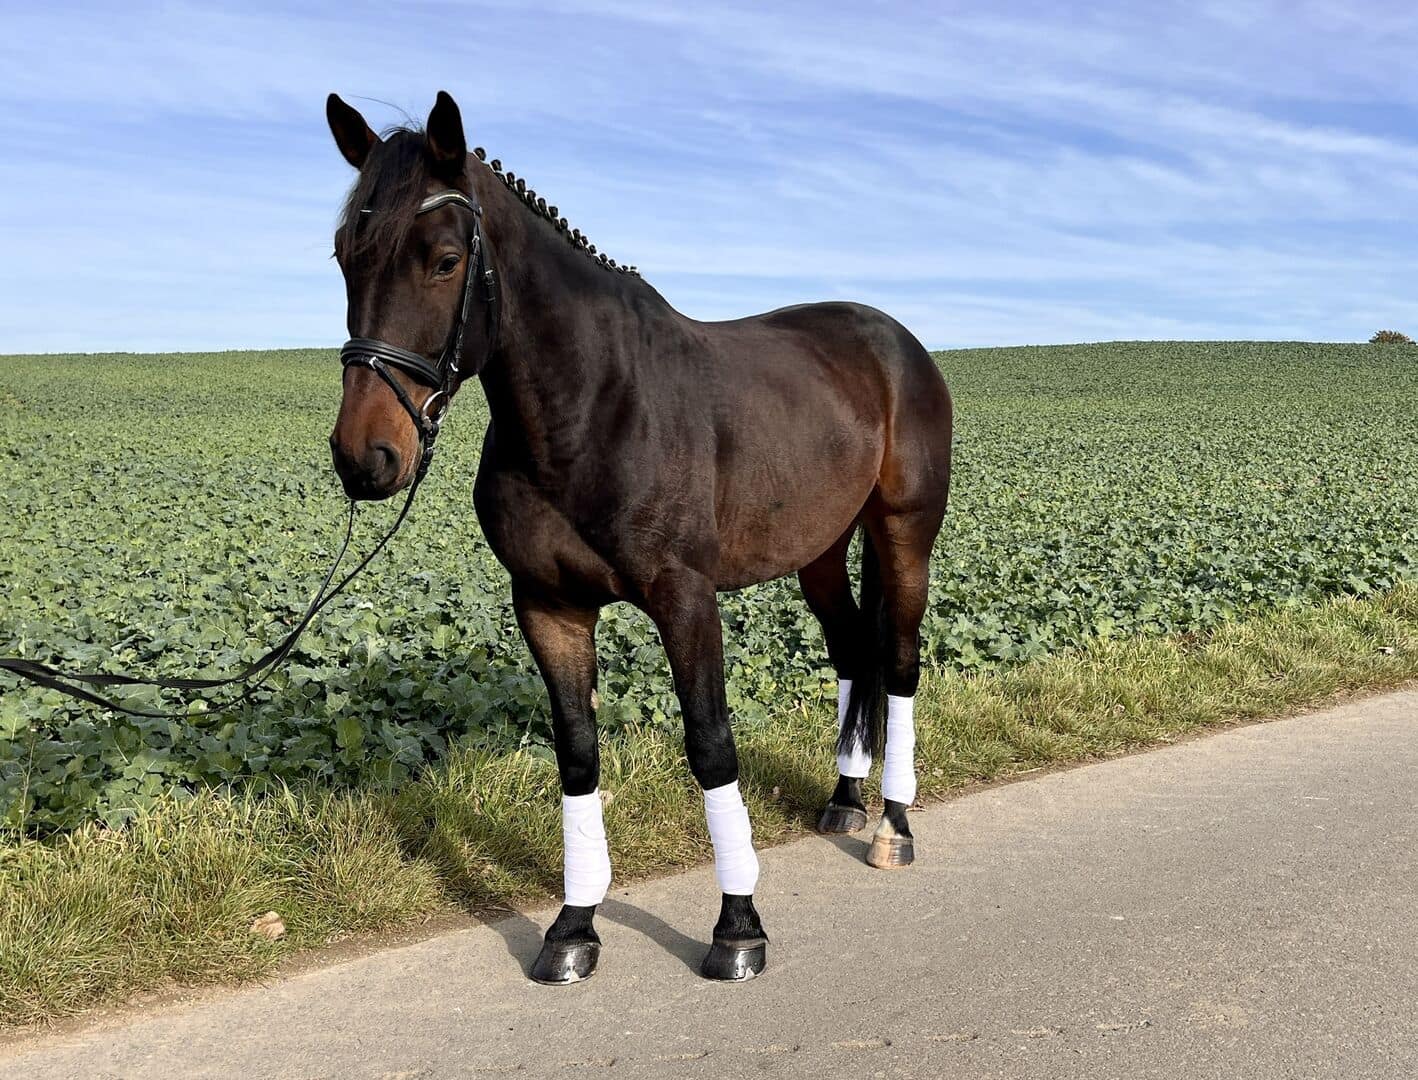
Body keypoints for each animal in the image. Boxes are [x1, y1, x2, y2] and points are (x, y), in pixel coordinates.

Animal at [326, 91, 953, 984]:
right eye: (346, 255)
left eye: (444, 259)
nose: (365, 457)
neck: (590, 409)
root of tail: (893, 341)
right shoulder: (548, 607)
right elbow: (578, 756)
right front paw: (573, 928)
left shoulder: (685, 600)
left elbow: (711, 746)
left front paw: (738, 928)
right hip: (819, 554)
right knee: (850, 652)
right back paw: (844, 801)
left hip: (905, 534)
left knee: (897, 661)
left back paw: (894, 826)